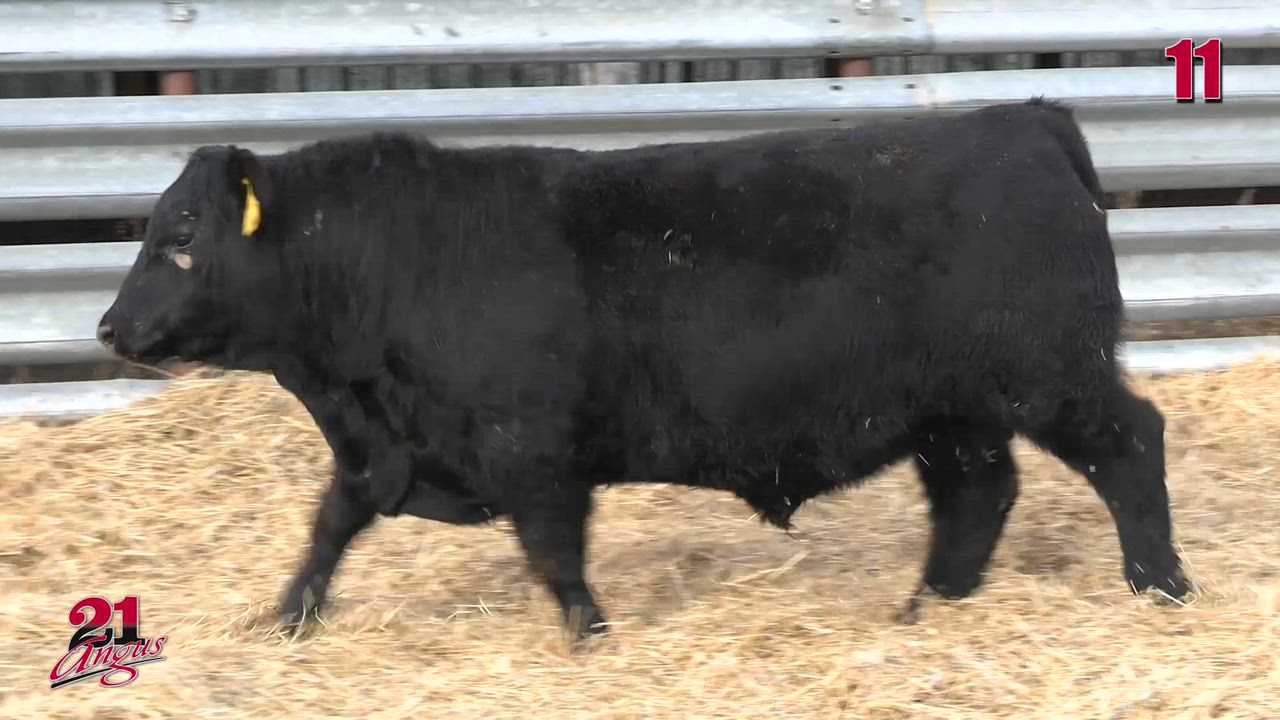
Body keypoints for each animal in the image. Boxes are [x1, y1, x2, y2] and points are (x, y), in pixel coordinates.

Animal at [96, 98, 1191, 640]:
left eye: (182, 236)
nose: (109, 326)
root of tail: (1024, 120)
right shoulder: (378, 451)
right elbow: (328, 527)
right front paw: (285, 619)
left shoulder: (534, 453)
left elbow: (554, 555)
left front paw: (589, 635)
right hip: (951, 412)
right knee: (977, 494)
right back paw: (931, 606)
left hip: (1049, 378)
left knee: (1128, 447)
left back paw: (1158, 585)